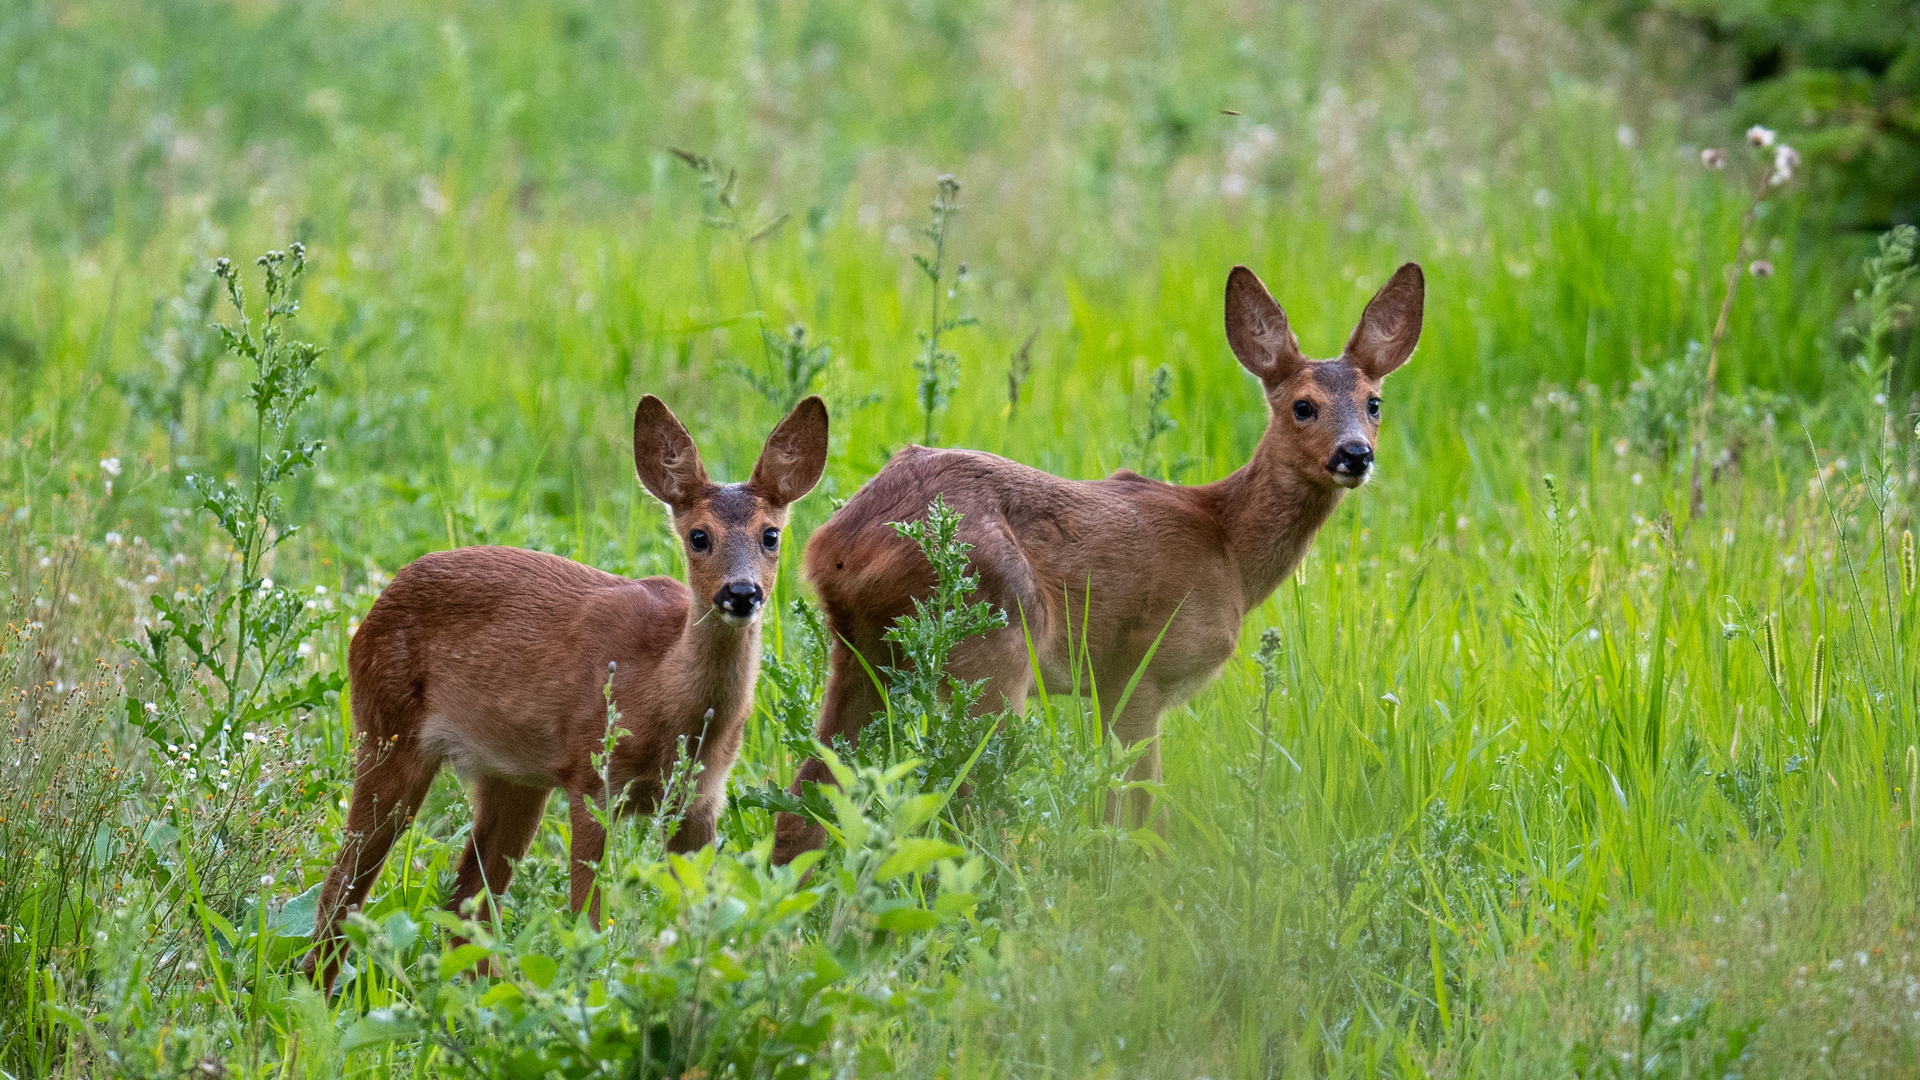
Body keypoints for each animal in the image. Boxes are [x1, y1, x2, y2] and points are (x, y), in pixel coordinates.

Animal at [303, 390, 829, 991]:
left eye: (771, 535)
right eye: (699, 537)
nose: (741, 593)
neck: (663, 697)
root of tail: (369, 612)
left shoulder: (700, 798)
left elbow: (704, 916)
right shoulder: (591, 775)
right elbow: (587, 918)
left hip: (513, 779)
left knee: (463, 905)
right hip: (387, 733)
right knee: (342, 889)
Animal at [771, 261, 1420, 857]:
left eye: (1375, 403)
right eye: (1303, 407)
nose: (1355, 454)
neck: (1227, 545)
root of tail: (835, 544)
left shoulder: (1109, 687)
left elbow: (1114, 810)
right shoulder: (1139, 669)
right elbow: (1143, 817)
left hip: (865, 650)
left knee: (805, 806)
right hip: (993, 639)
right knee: (972, 811)